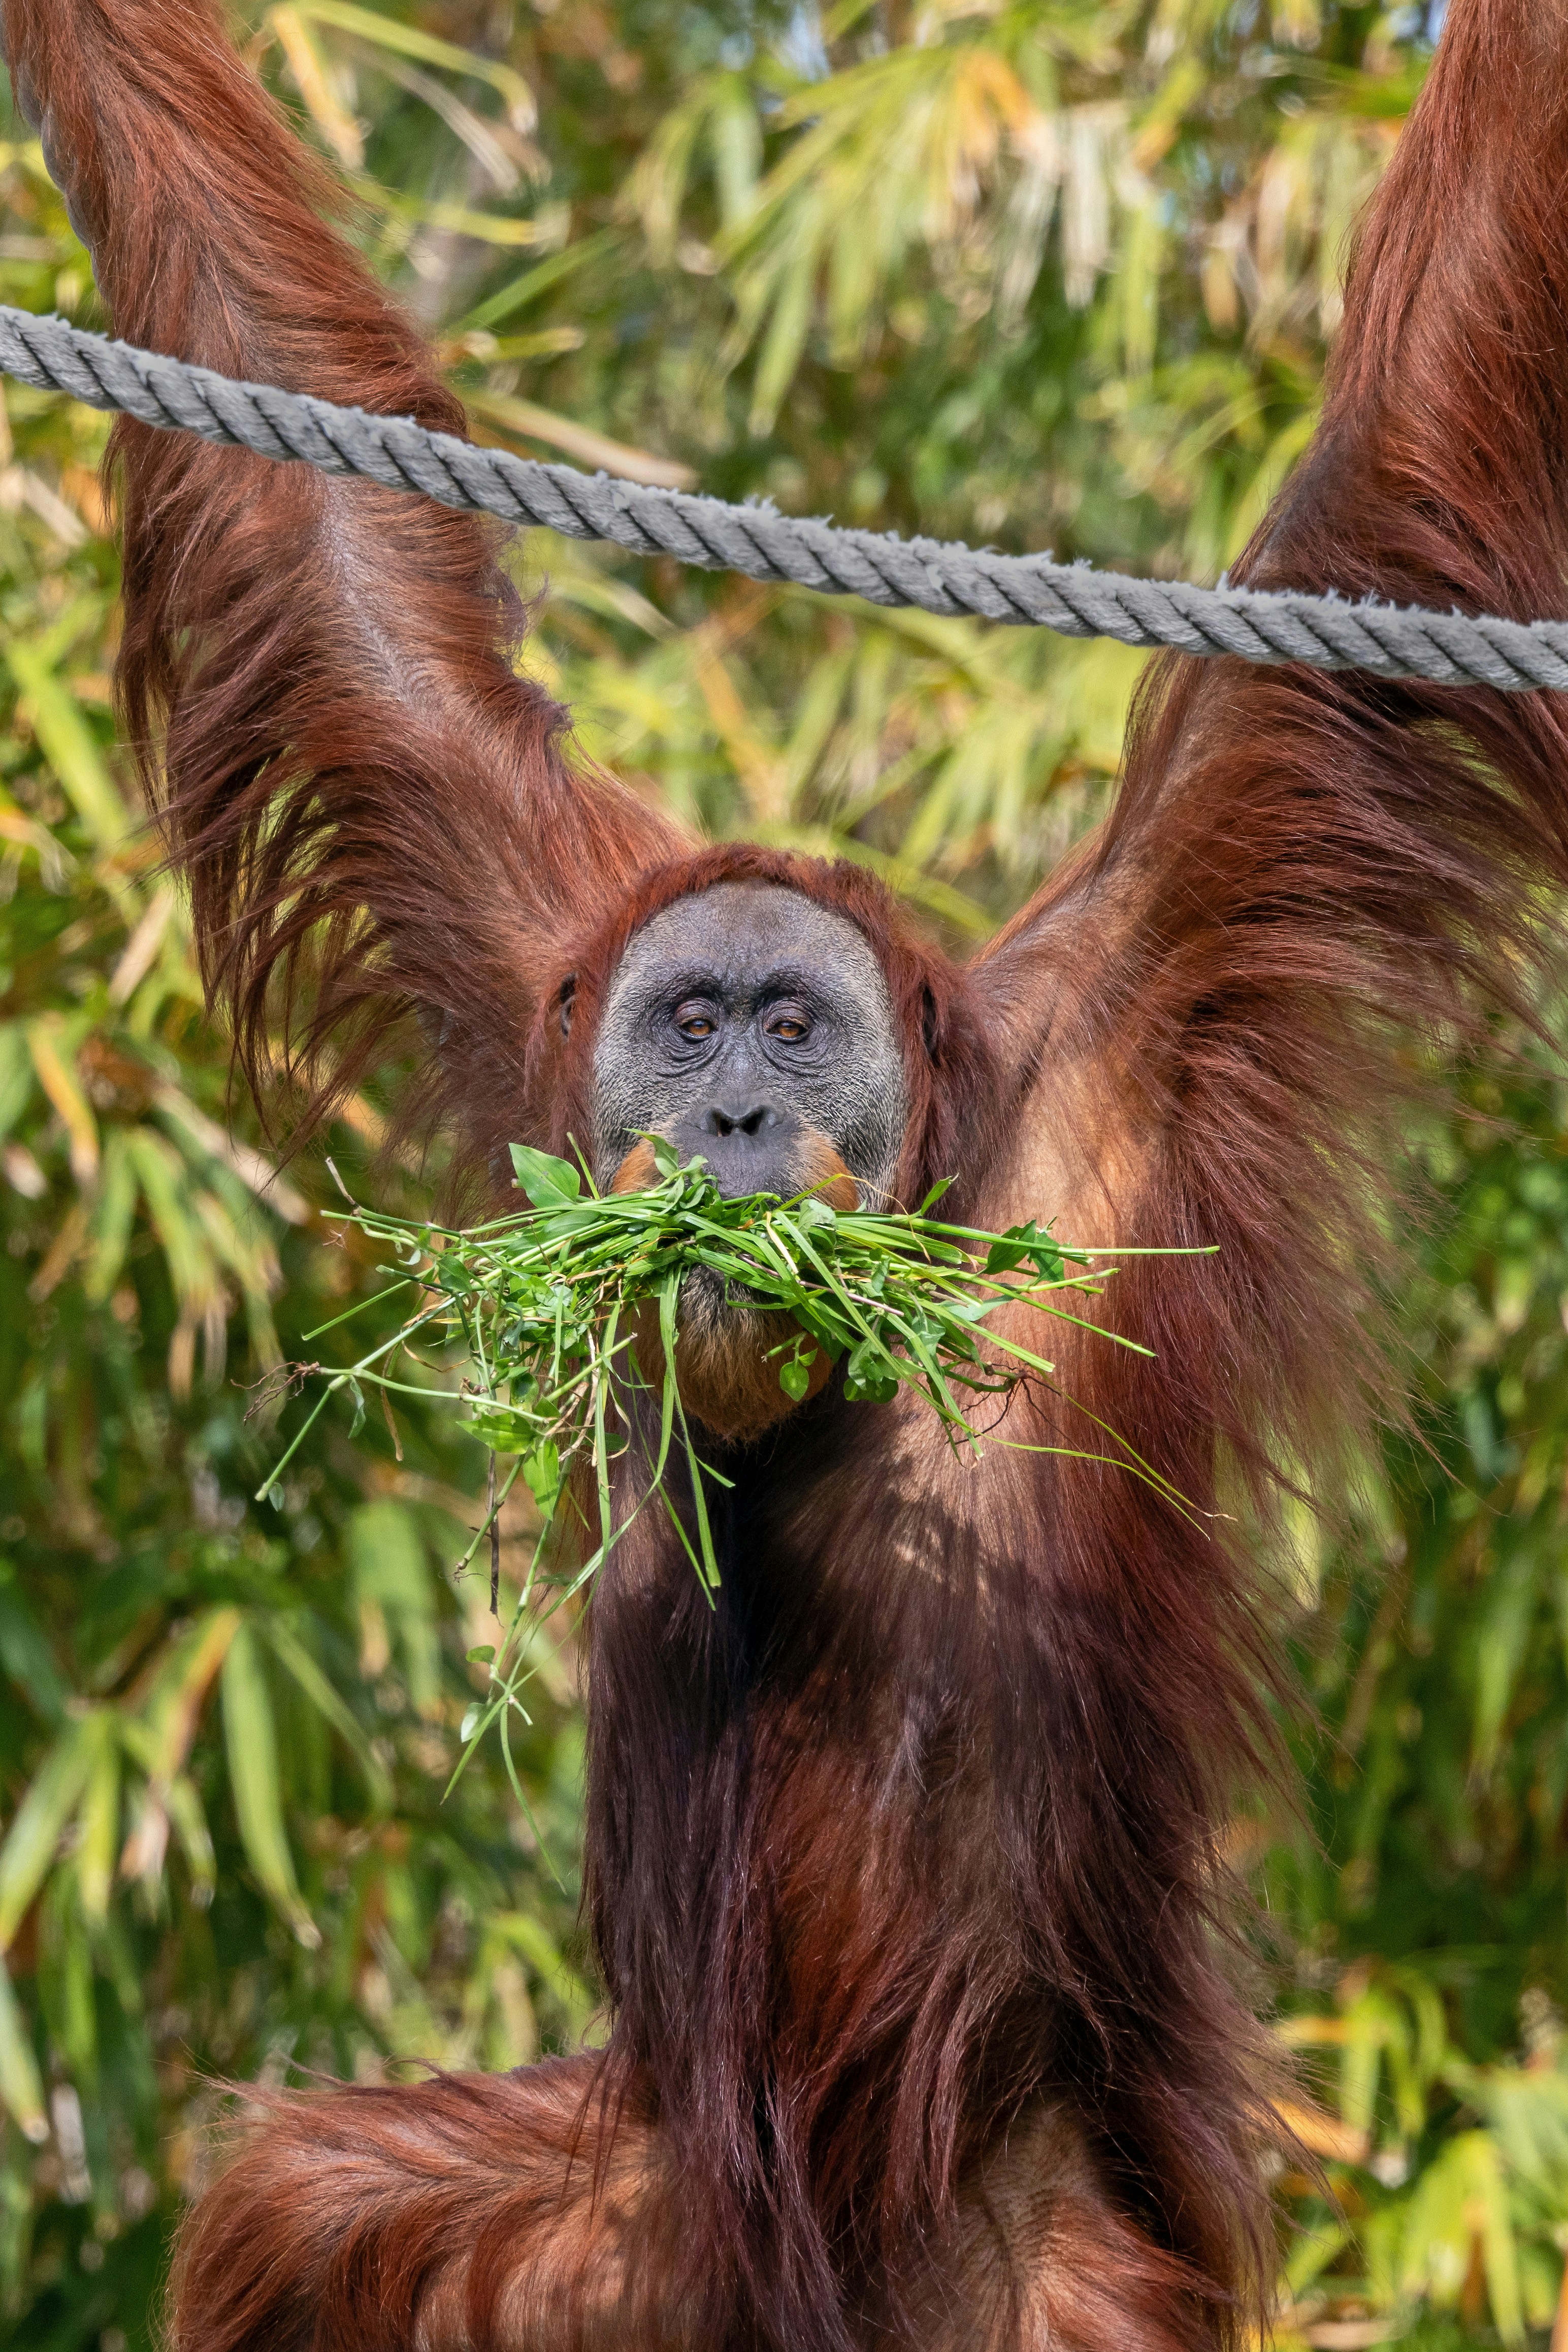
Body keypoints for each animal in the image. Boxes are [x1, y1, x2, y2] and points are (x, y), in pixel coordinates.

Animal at [6, 0, 1568, 2346]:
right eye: (689, 1026)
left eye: (794, 1027)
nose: (735, 1123)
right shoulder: (537, 945)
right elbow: (338, 558)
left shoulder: (1160, 992)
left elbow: (1390, 513)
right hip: (648, 2243)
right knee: (303, 2194)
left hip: (1035, 2273)